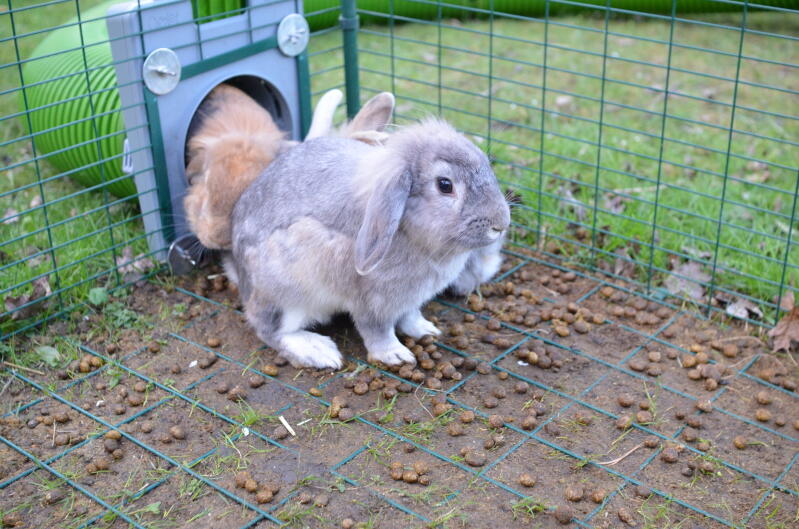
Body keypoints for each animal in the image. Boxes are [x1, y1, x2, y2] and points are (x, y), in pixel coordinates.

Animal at [228, 118, 511, 369]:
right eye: (444, 185)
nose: (500, 224)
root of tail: (240, 273)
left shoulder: (410, 299)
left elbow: (410, 316)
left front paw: (425, 330)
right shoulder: (371, 302)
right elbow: (377, 330)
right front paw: (394, 355)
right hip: (283, 293)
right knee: (268, 328)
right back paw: (318, 351)